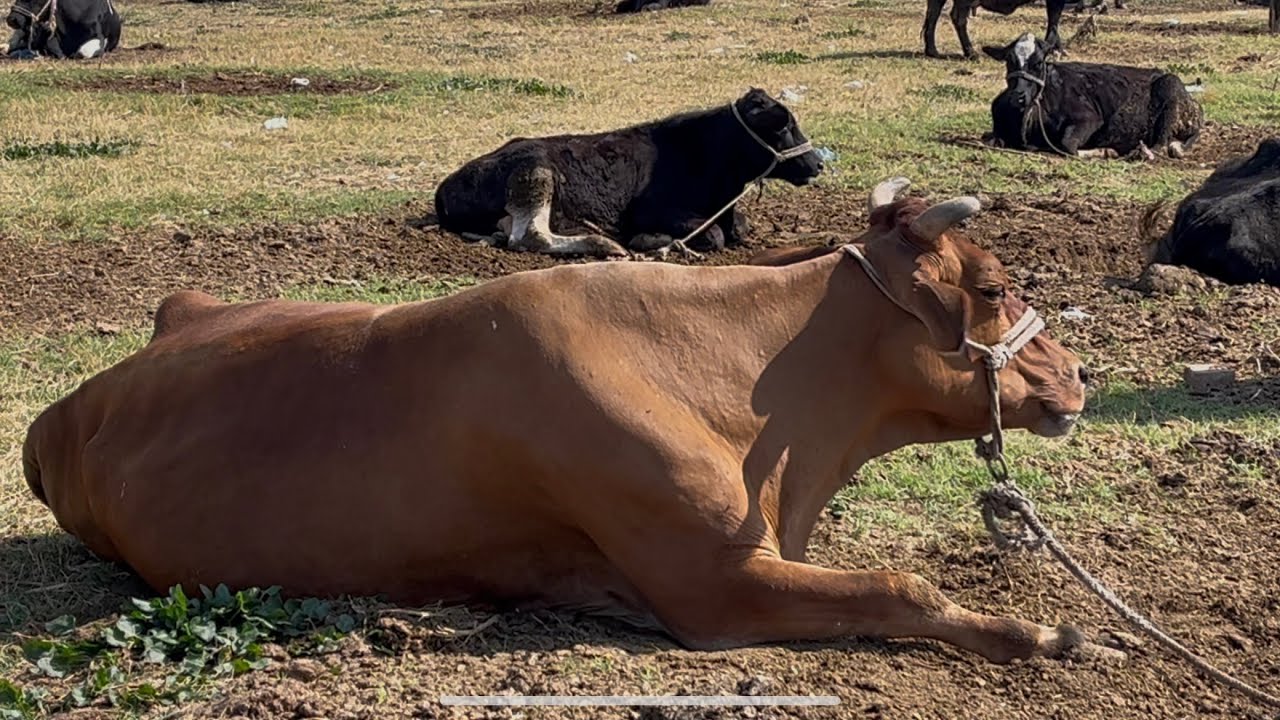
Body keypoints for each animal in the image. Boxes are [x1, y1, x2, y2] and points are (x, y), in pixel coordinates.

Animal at [23, 177, 1117, 665]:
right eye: (992, 286)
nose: (1075, 373)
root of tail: (69, 410)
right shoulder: (714, 585)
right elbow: (902, 586)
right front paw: (1051, 631)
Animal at [434, 88, 824, 258]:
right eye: (783, 126)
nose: (818, 163)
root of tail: (446, 187)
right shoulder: (649, 210)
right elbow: (714, 235)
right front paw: (650, 239)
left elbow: (739, 227)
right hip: (536, 173)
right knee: (529, 236)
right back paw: (604, 243)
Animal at [924, 0, 1066, 59]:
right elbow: (1054, 19)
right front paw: (1055, 49)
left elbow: (1053, 20)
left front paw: (1058, 49)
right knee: (958, 18)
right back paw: (971, 53)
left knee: (932, 15)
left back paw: (932, 51)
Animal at [982, 33, 1202, 159]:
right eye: (1009, 61)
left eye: (1038, 63)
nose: (1017, 96)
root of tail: (1194, 103)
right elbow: (989, 139)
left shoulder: (1089, 119)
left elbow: (1067, 146)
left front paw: (1106, 151)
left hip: (1170, 91)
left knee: (1160, 145)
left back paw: (1143, 152)